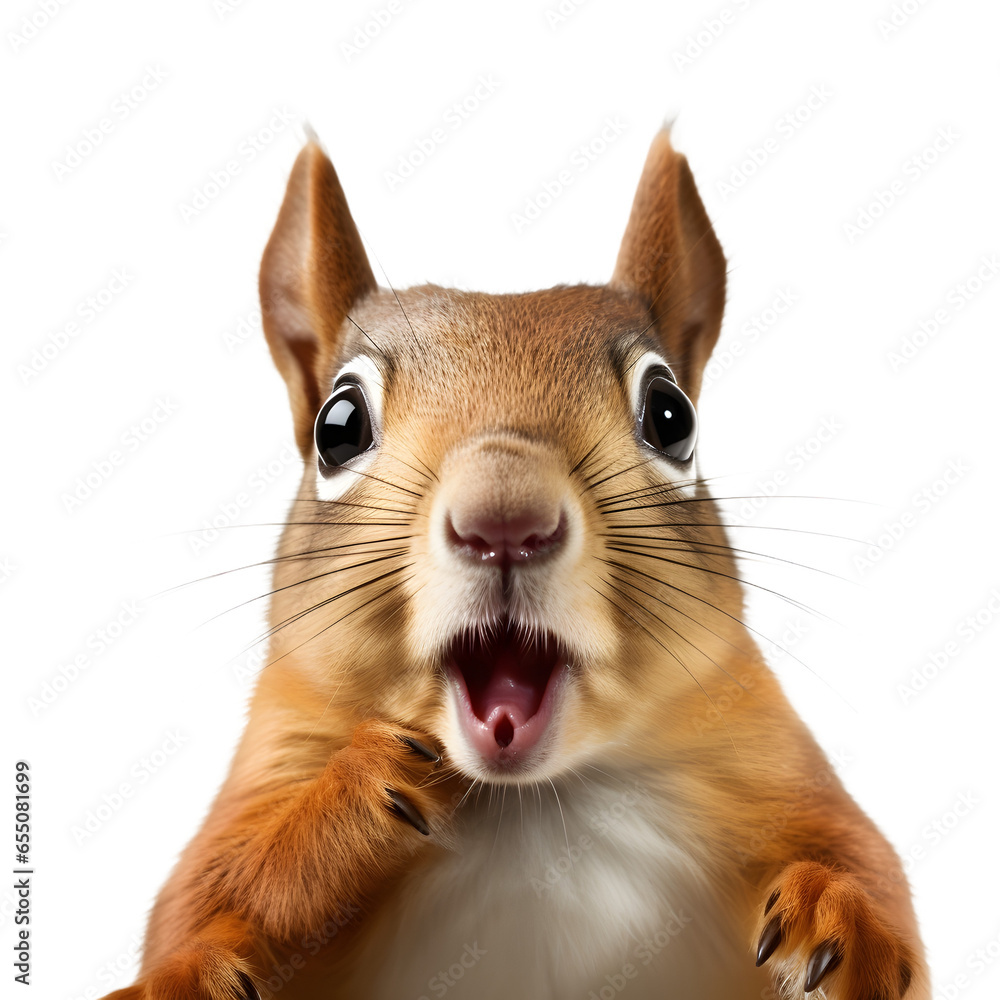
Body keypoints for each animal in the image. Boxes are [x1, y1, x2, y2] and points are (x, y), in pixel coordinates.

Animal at [102, 129, 929, 1000]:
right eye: (338, 425)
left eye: (672, 416)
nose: (506, 521)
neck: (528, 801)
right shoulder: (270, 759)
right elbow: (203, 896)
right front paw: (361, 787)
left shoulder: (771, 759)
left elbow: (868, 861)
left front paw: (841, 916)